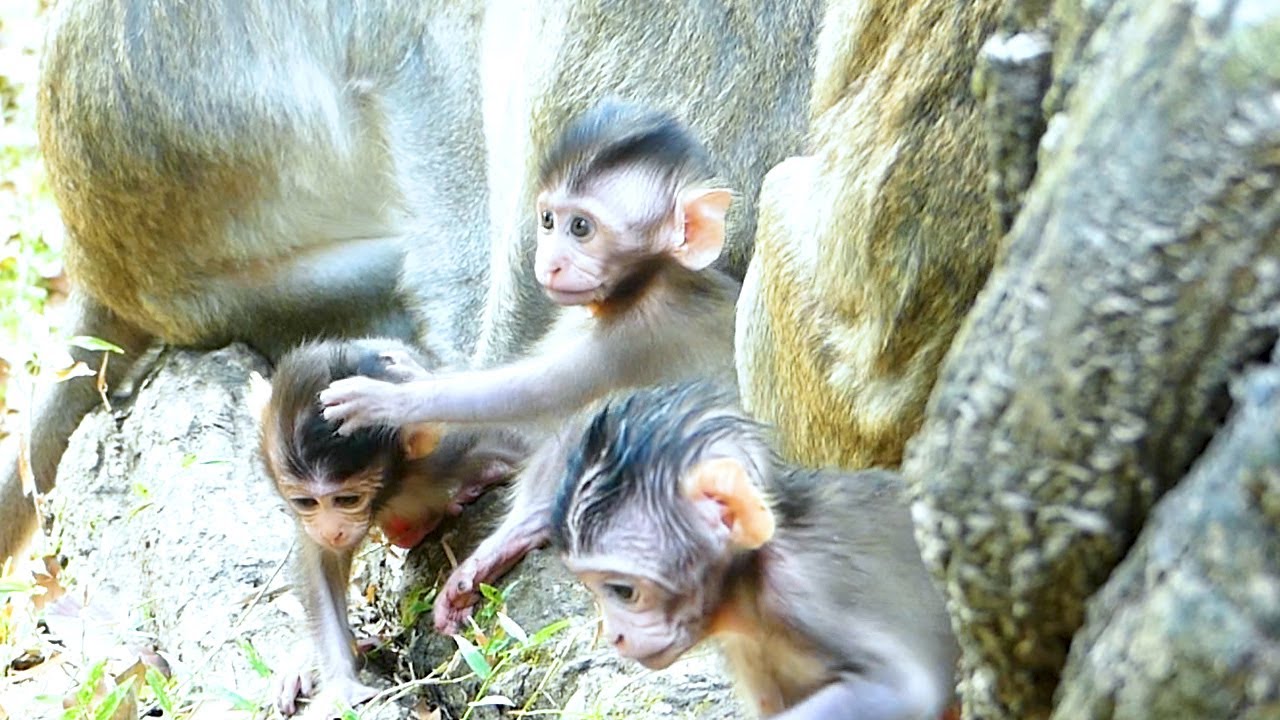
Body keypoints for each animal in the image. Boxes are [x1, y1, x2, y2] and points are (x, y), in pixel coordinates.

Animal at [256, 338, 530, 714]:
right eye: (306, 502)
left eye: (348, 500)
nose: (331, 528)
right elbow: (322, 561)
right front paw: (340, 685)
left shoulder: (454, 445)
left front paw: (492, 559)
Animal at [317, 101, 741, 632]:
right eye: (548, 220)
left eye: (581, 228)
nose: (550, 262)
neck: (644, 283)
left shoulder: (637, 335)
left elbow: (530, 392)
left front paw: (387, 399)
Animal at [549, 382, 960, 720]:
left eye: (623, 592)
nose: (614, 636)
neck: (749, 589)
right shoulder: (742, 647)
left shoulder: (807, 589)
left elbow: (903, 690)